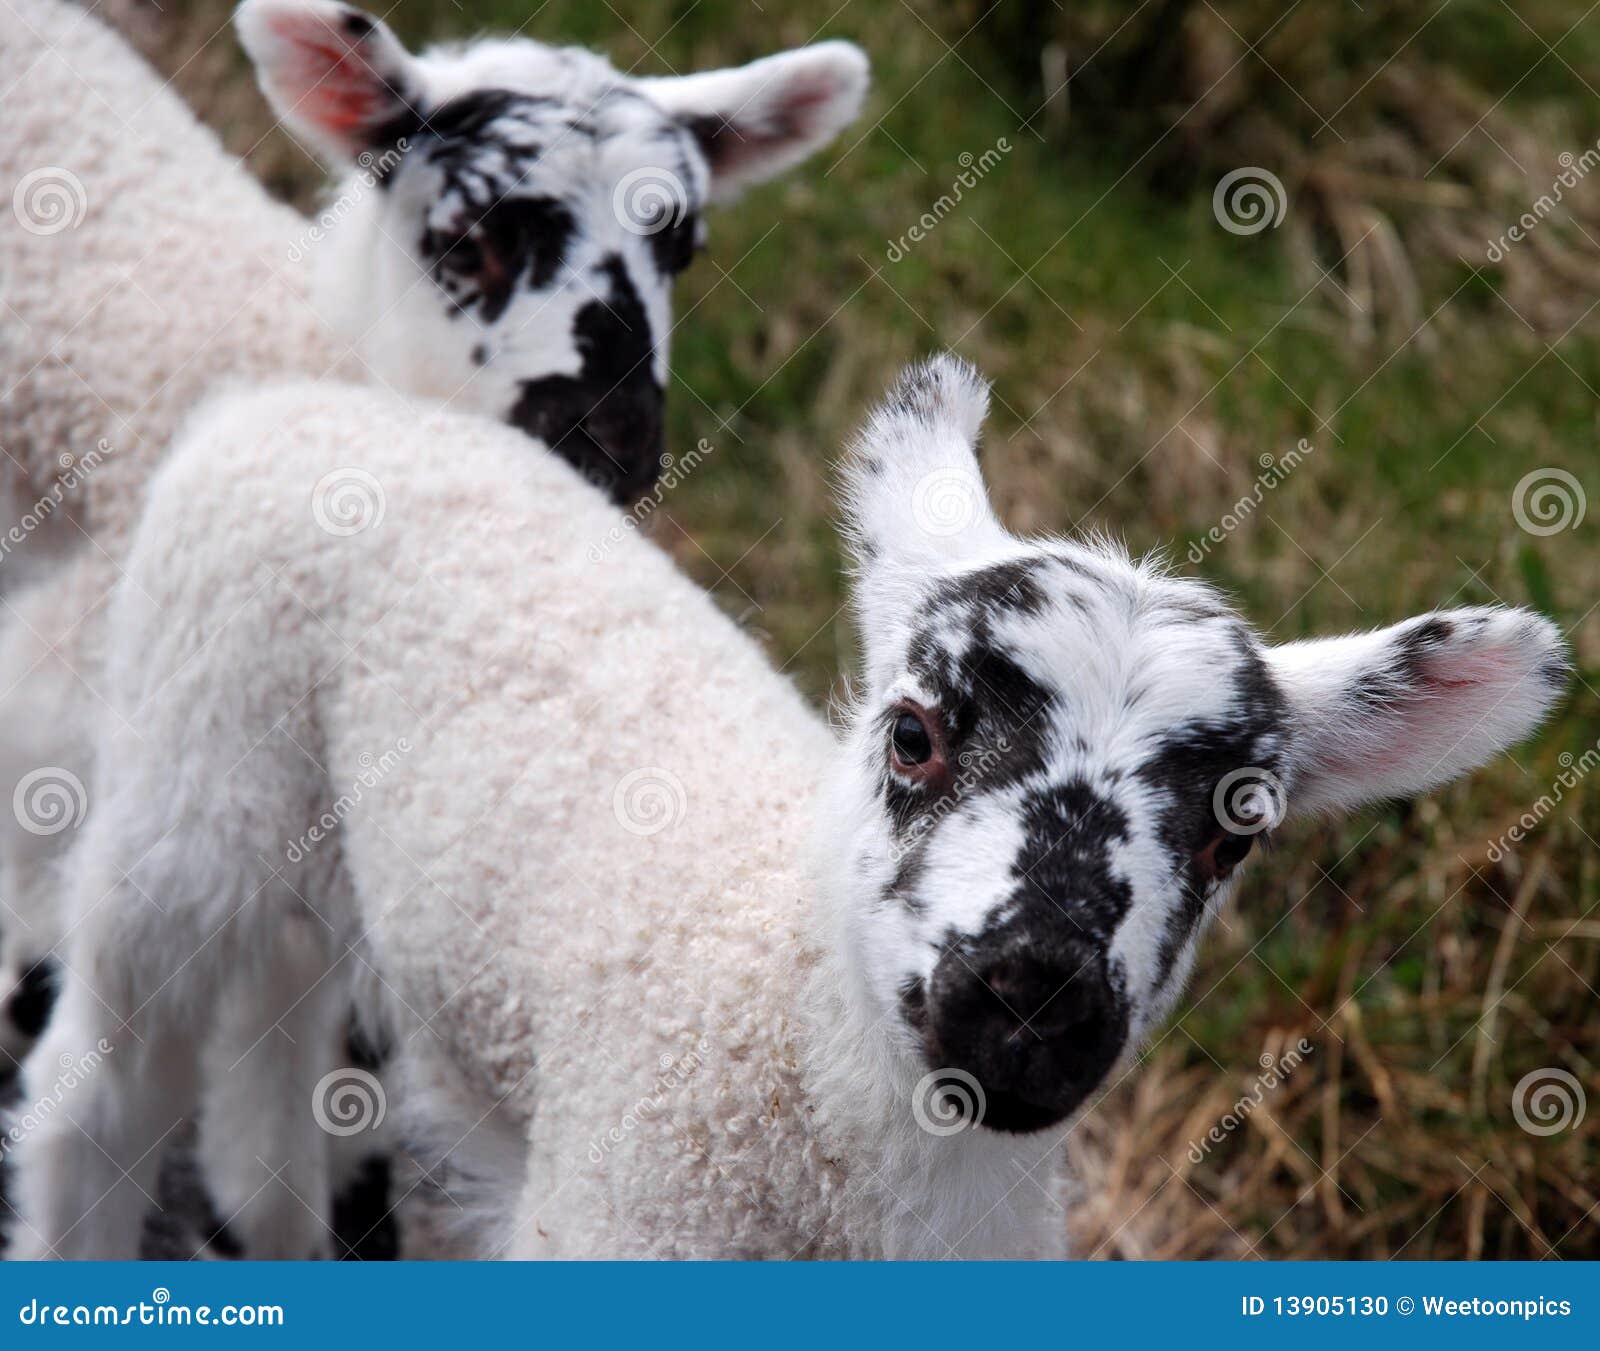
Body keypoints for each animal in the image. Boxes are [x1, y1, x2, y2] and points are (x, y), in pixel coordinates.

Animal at [5, 356, 1567, 1259]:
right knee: (97, 1088)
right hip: (190, 771)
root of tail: (307, 397)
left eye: (1238, 820)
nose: (1037, 993)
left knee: (262, 1093)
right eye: (914, 733)